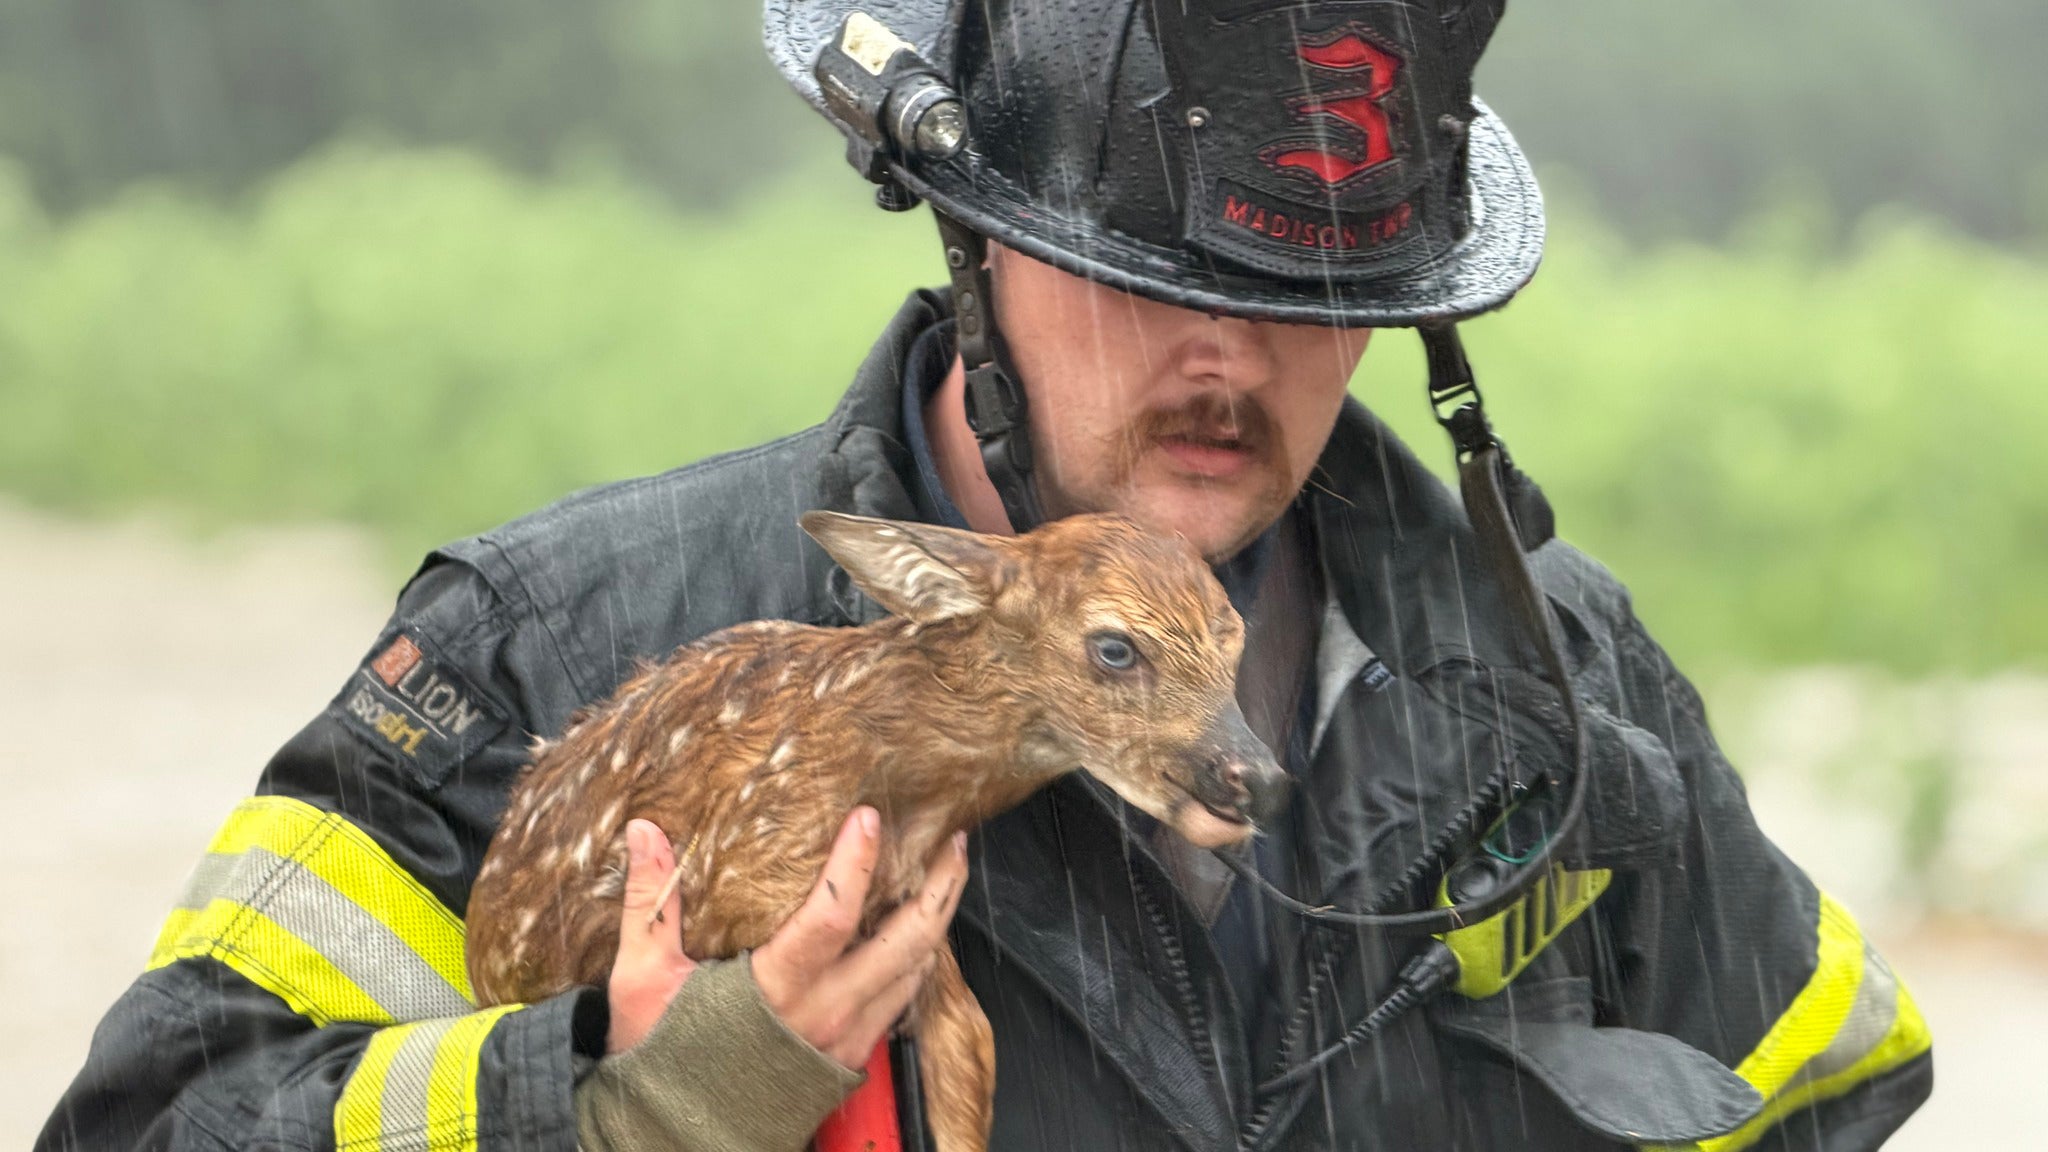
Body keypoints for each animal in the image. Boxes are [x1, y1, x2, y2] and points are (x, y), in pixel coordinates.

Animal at [464, 510, 1288, 1152]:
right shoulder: (738, 881)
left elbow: (971, 1047)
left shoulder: (907, 903)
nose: (1261, 779)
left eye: (1236, 644)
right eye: (1115, 647)